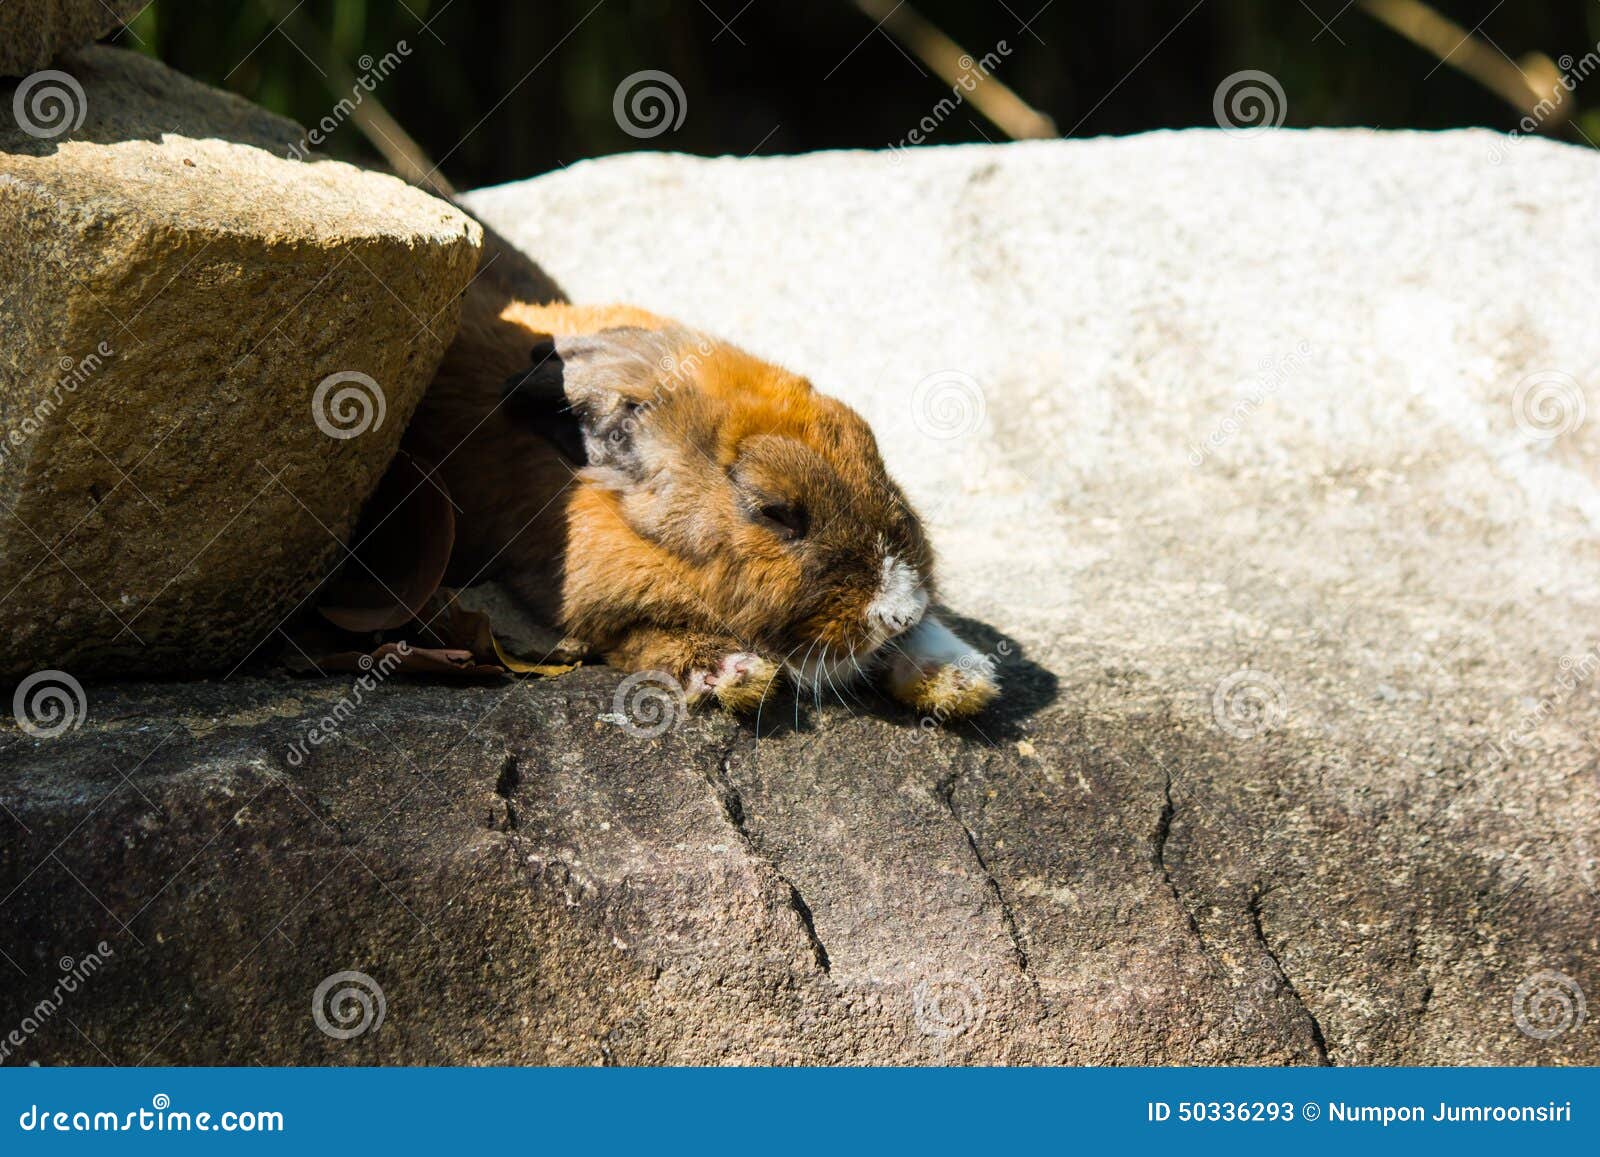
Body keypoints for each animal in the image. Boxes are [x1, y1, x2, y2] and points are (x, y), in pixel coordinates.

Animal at [404, 281, 998, 719]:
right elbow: (648, 641)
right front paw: (737, 675)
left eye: (872, 448)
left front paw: (962, 678)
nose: (899, 611)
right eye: (777, 511)